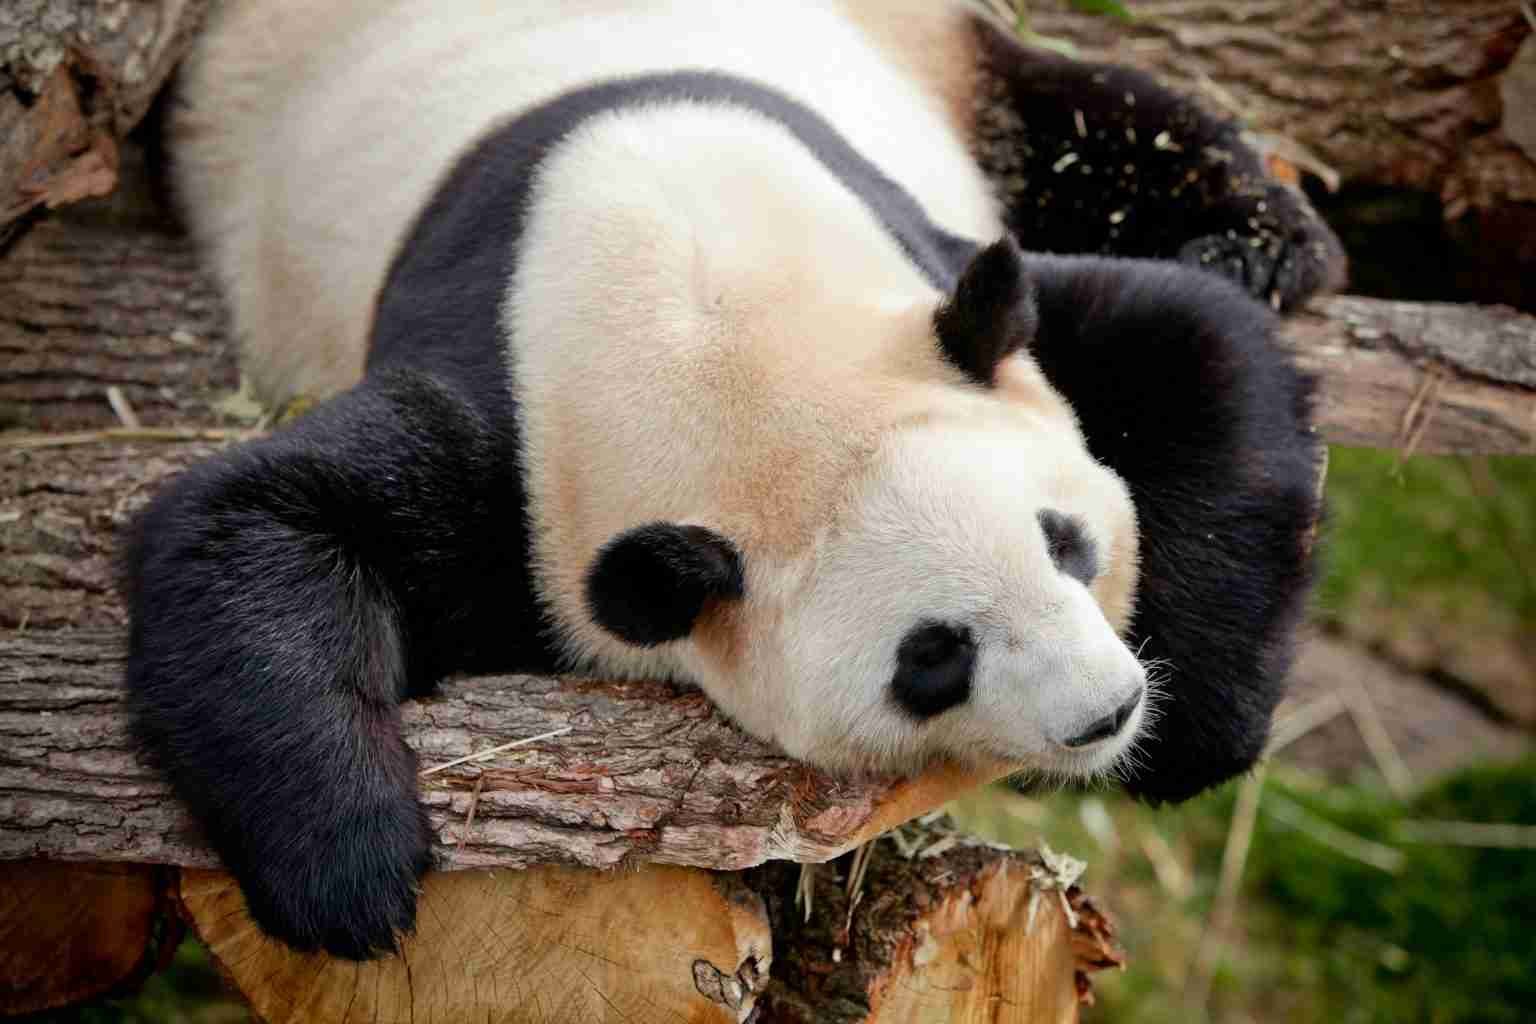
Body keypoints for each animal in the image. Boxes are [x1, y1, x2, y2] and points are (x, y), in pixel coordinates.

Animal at [124, 0, 1342, 960]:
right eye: (933, 657)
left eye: (1064, 540)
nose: (1106, 711)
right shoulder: (522, 448)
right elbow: (248, 518)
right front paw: (354, 870)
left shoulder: (931, 276)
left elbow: (1189, 336)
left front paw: (1194, 730)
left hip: (929, 47)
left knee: (1080, 109)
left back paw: (1264, 241)